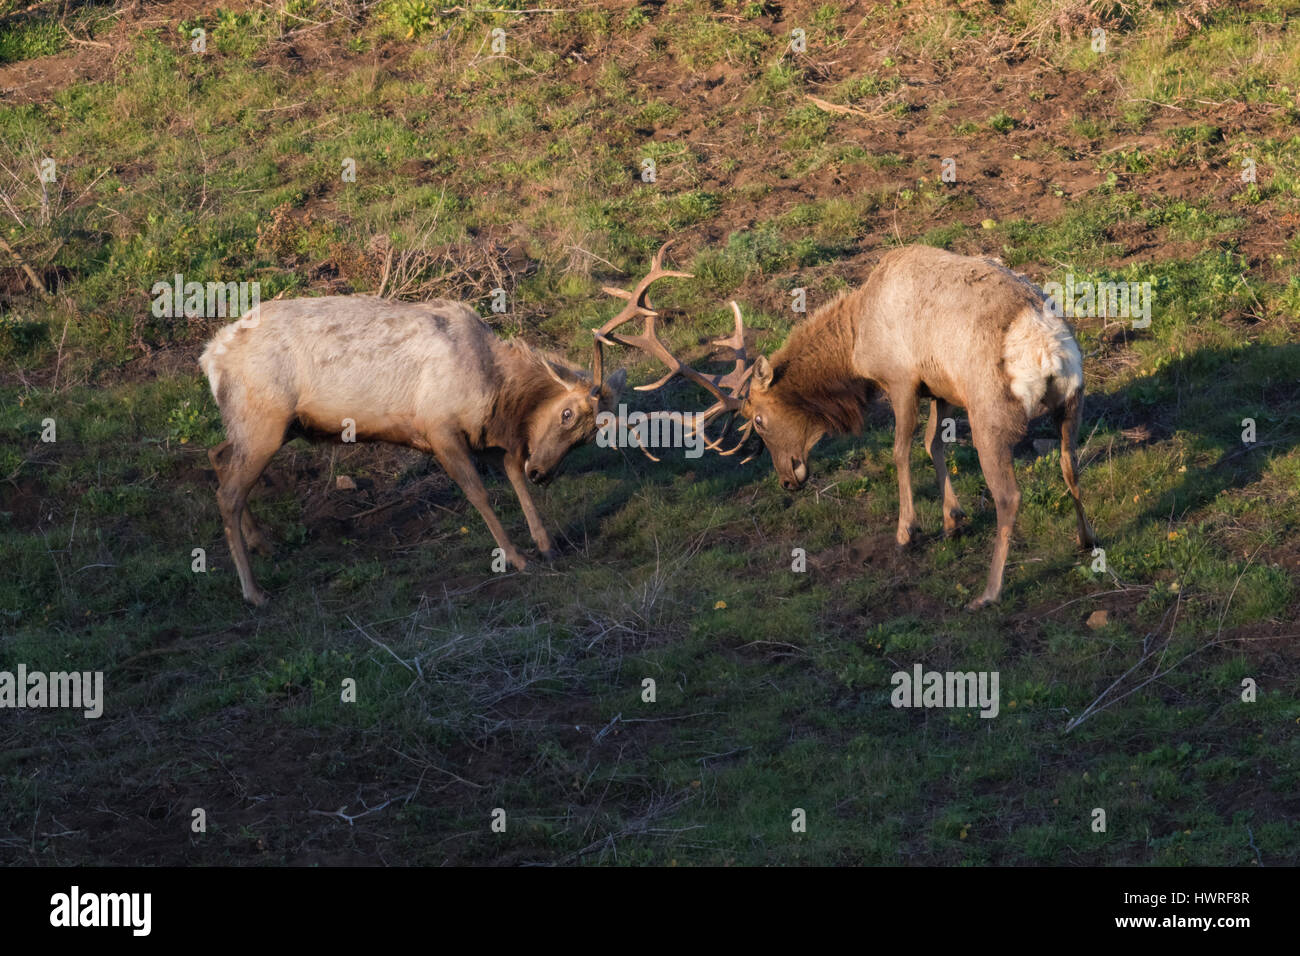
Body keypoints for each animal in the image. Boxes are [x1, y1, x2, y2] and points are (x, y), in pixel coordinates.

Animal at [198, 288, 647, 605]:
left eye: (587, 437)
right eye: (567, 414)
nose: (543, 473)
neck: (494, 394)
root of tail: (210, 357)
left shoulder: (486, 439)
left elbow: (513, 477)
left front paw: (547, 545)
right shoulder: (439, 426)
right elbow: (479, 493)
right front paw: (517, 557)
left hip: (269, 424)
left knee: (218, 455)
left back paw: (262, 543)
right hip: (264, 418)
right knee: (227, 493)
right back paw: (254, 592)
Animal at [599, 244, 1096, 609]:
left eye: (758, 419)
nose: (788, 480)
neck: (856, 342)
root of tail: (1050, 349)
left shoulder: (901, 379)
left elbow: (902, 451)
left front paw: (907, 531)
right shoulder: (937, 386)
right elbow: (933, 445)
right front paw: (952, 520)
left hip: (989, 411)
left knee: (1009, 496)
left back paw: (989, 593)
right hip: (1072, 402)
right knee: (1070, 465)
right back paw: (1085, 541)